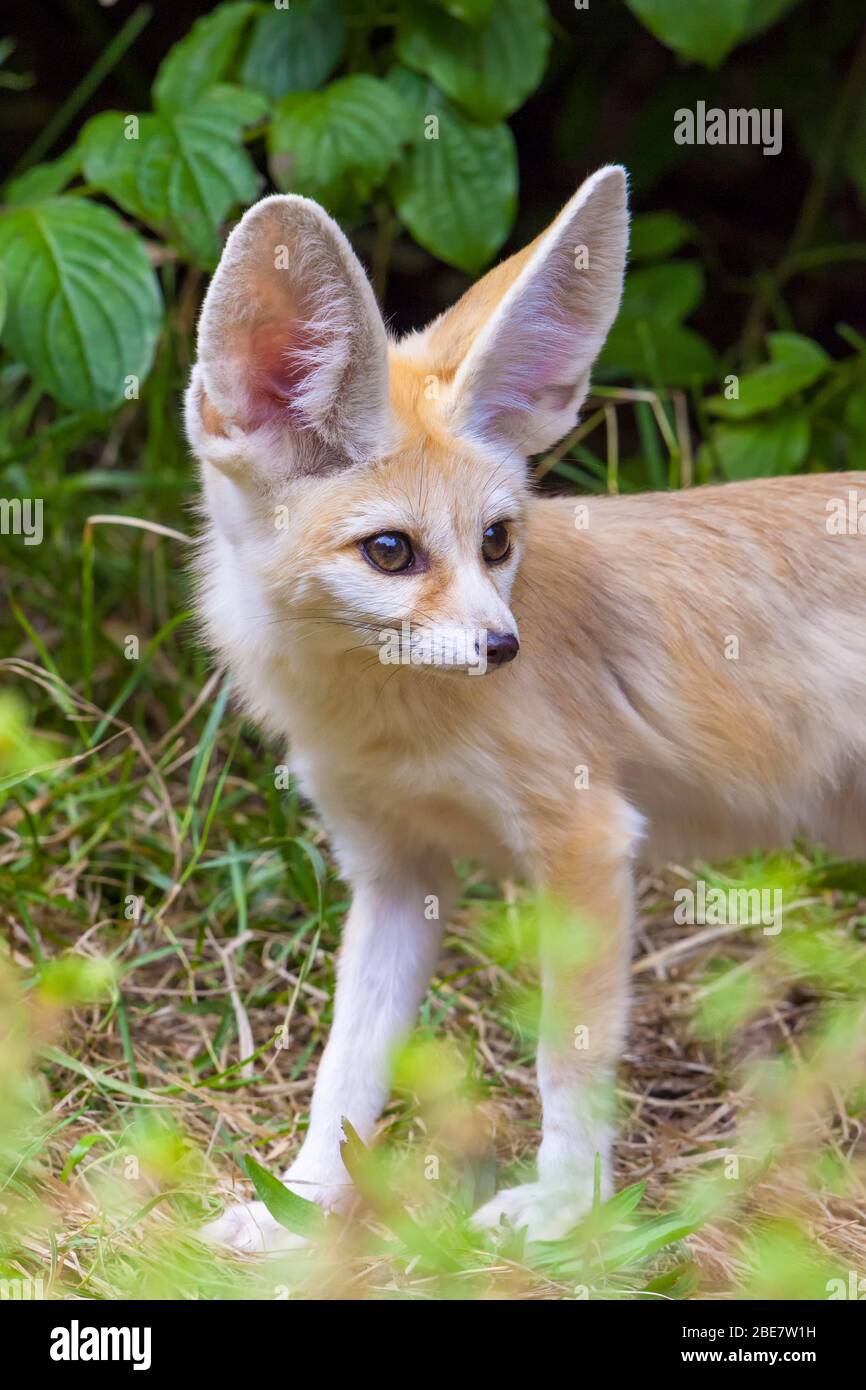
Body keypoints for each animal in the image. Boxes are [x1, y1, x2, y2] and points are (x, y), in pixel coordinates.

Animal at [186, 165, 866, 1251]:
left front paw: (563, 1206)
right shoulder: (393, 873)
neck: (393, 727)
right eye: (391, 551)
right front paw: (303, 1208)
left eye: (496, 540)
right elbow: (347, 1066)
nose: (503, 649)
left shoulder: (585, 840)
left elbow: (567, 1055)